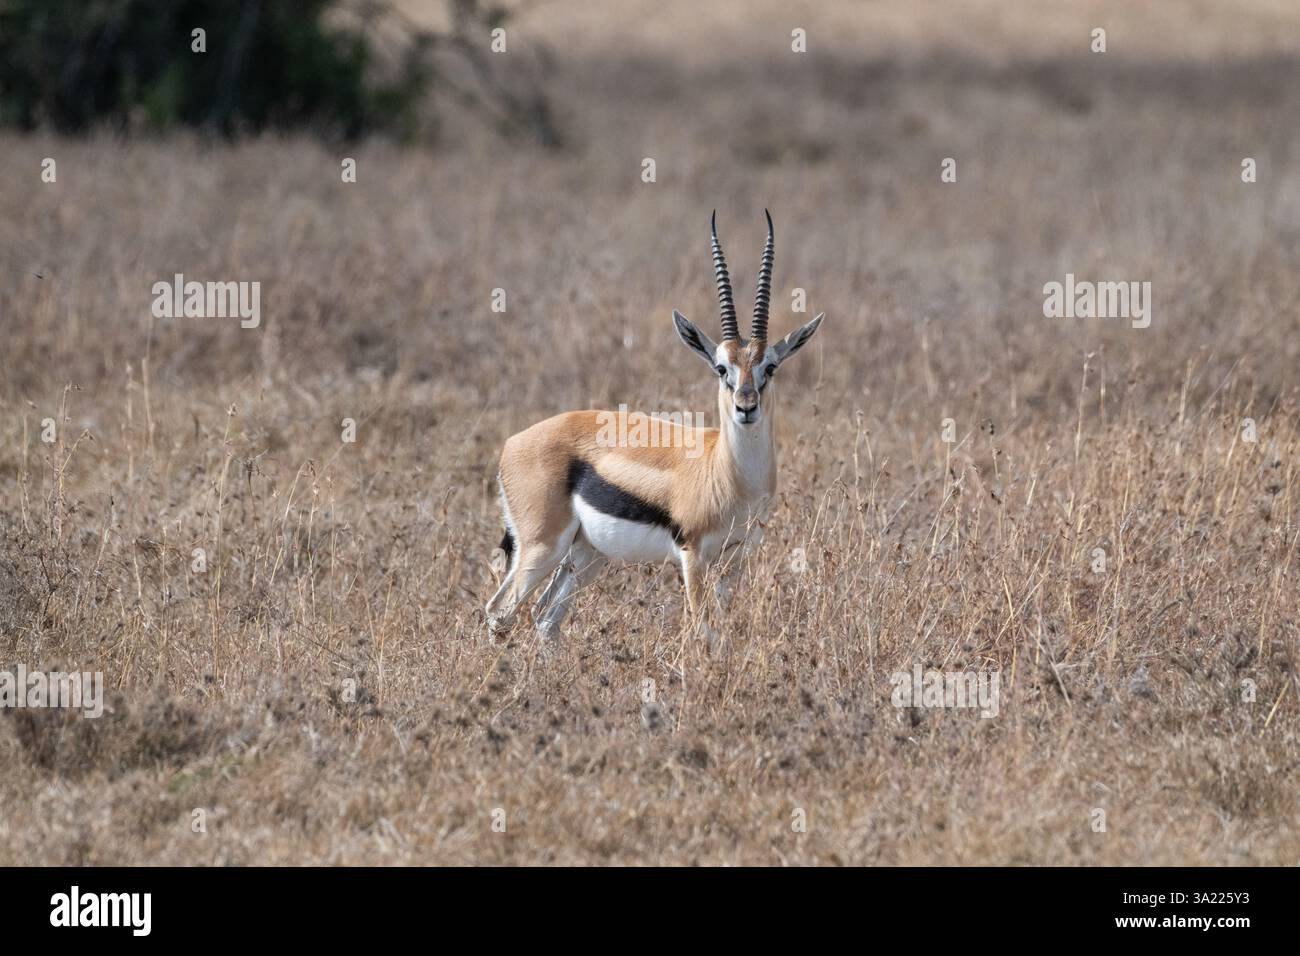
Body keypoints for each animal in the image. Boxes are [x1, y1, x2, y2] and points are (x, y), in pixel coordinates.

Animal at [486, 211, 824, 640]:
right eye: (721, 368)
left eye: (771, 367)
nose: (745, 407)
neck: (725, 472)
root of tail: (512, 445)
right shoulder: (693, 555)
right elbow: (703, 631)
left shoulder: (736, 559)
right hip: (541, 547)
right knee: (499, 610)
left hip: (587, 553)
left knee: (545, 616)